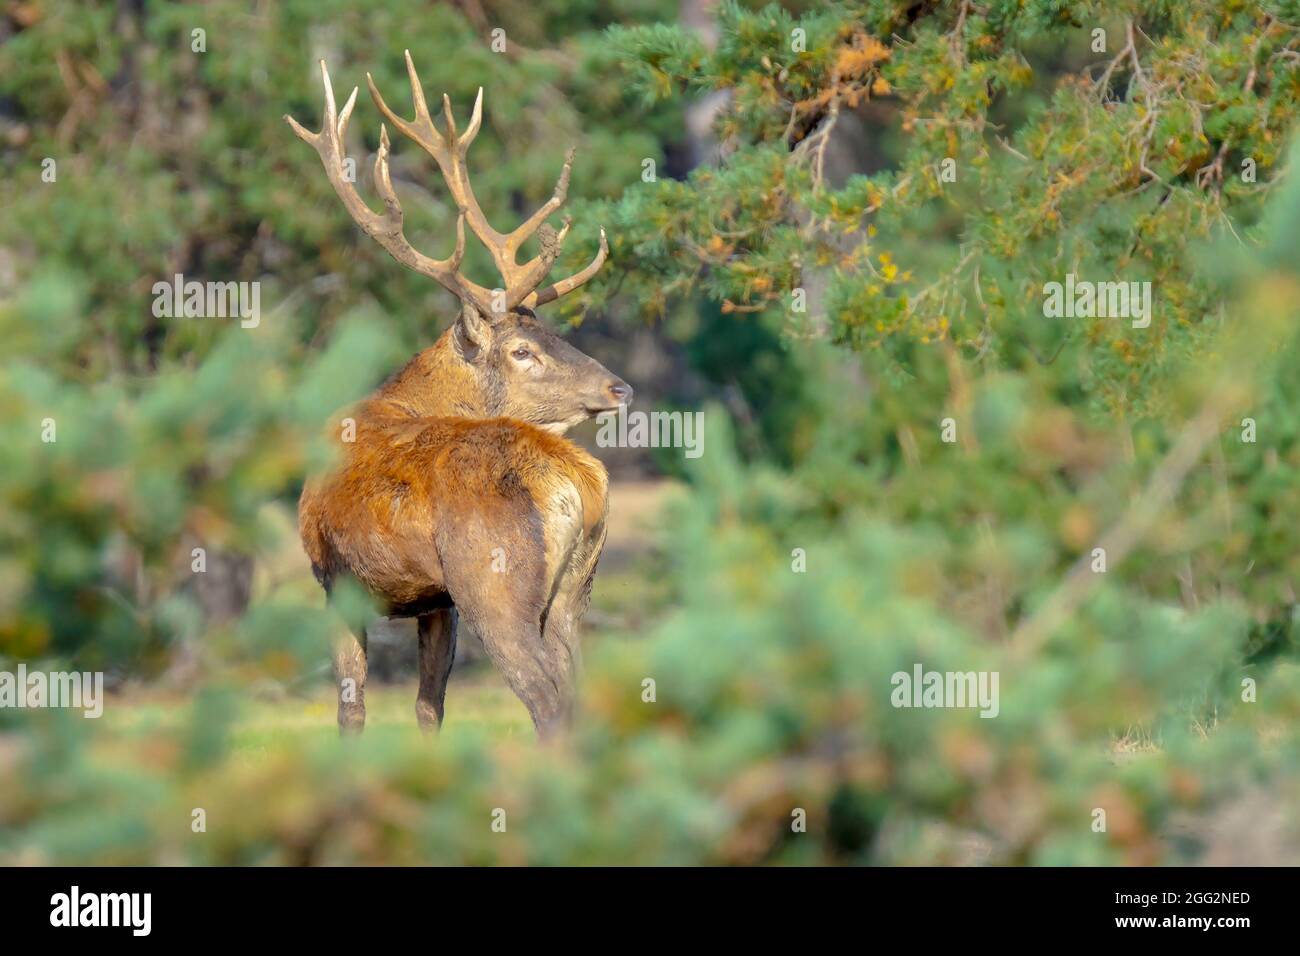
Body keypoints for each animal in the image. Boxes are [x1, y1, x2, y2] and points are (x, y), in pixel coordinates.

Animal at [285, 53, 632, 739]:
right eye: (526, 347)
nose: (620, 386)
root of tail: (577, 484)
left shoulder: (334, 580)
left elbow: (351, 708)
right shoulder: (434, 601)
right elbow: (429, 706)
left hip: (493, 584)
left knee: (547, 703)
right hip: (574, 591)